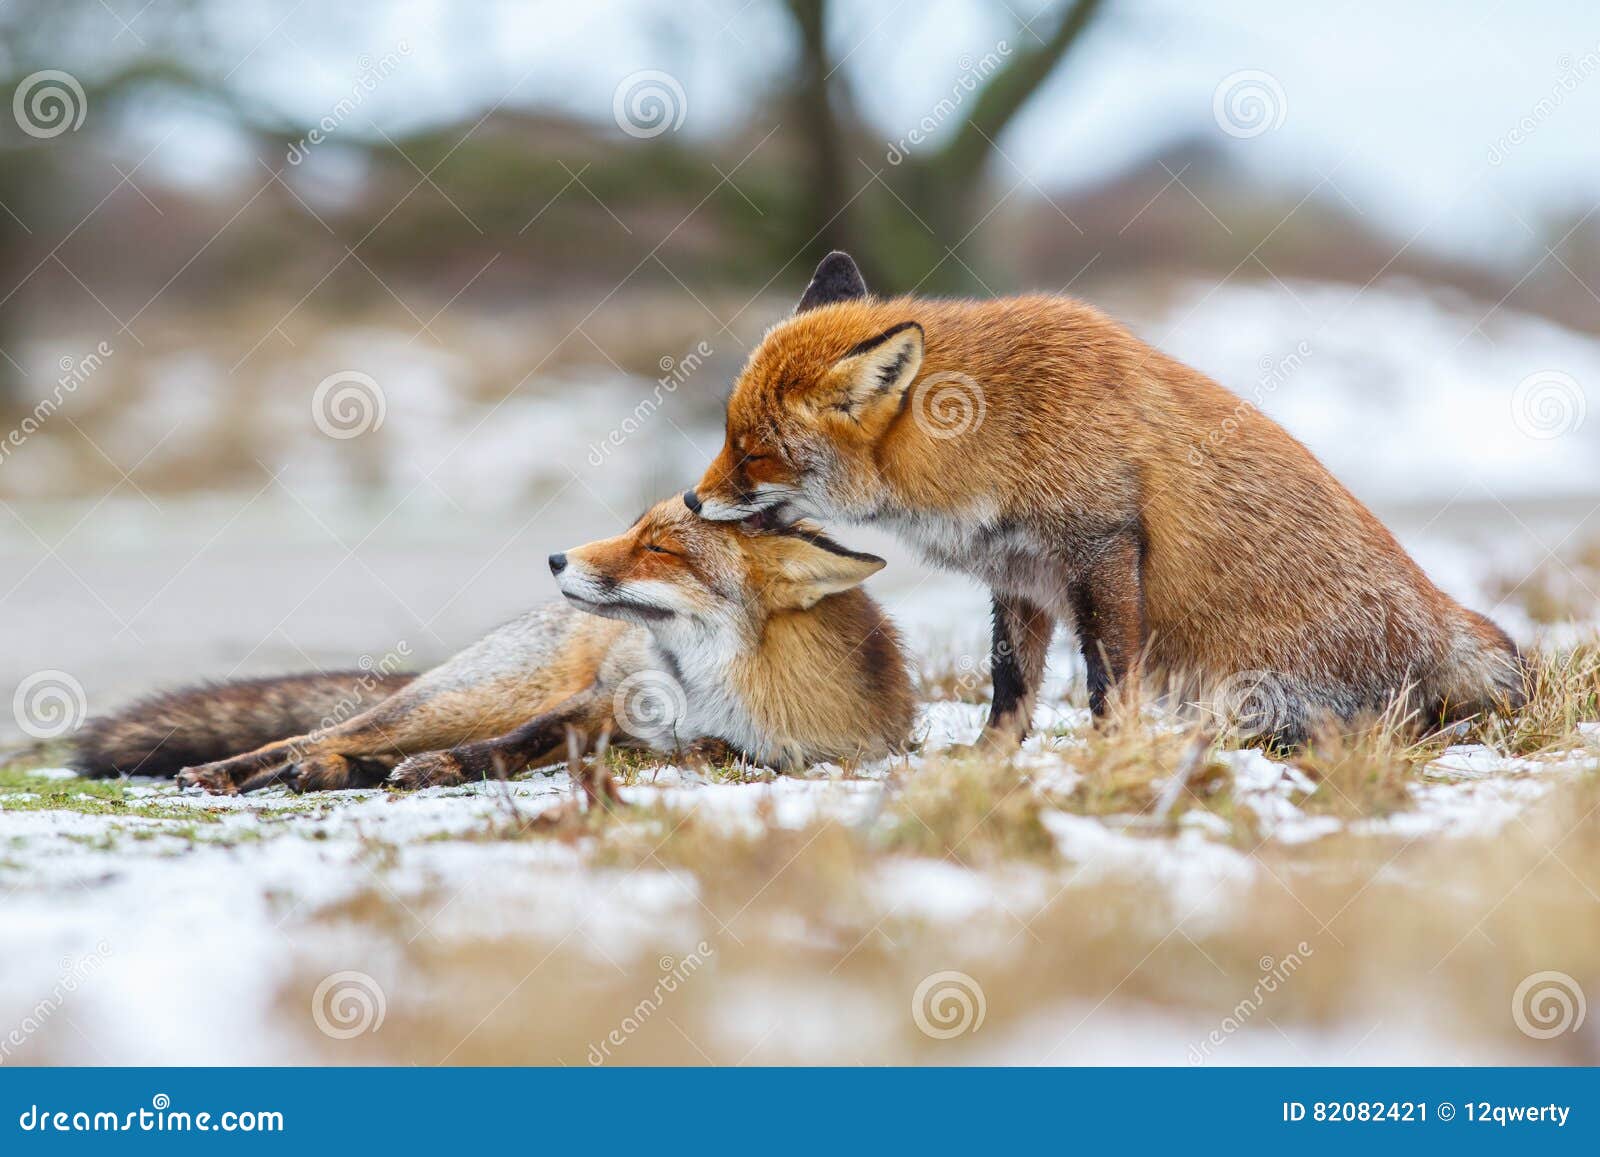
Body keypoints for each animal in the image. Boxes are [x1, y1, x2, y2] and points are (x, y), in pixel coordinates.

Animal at [72, 497, 914, 793]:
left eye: (659, 548)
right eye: (637, 527)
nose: (555, 558)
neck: (708, 687)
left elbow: (701, 751)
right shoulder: (597, 703)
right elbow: (511, 747)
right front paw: (443, 770)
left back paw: (332, 772)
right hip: (461, 699)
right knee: (319, 731)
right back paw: (247, 769)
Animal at [685, 251, 1525, 748]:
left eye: (753, 452)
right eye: (725, 434)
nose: (691, 501)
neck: (999, 434)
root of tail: (1442, 617)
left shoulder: (1106, 549)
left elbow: (1107, 682)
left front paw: (1106, 760)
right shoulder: (1020, 579)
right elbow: (1011, 687)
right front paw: (988, 763)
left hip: (1247, 690)